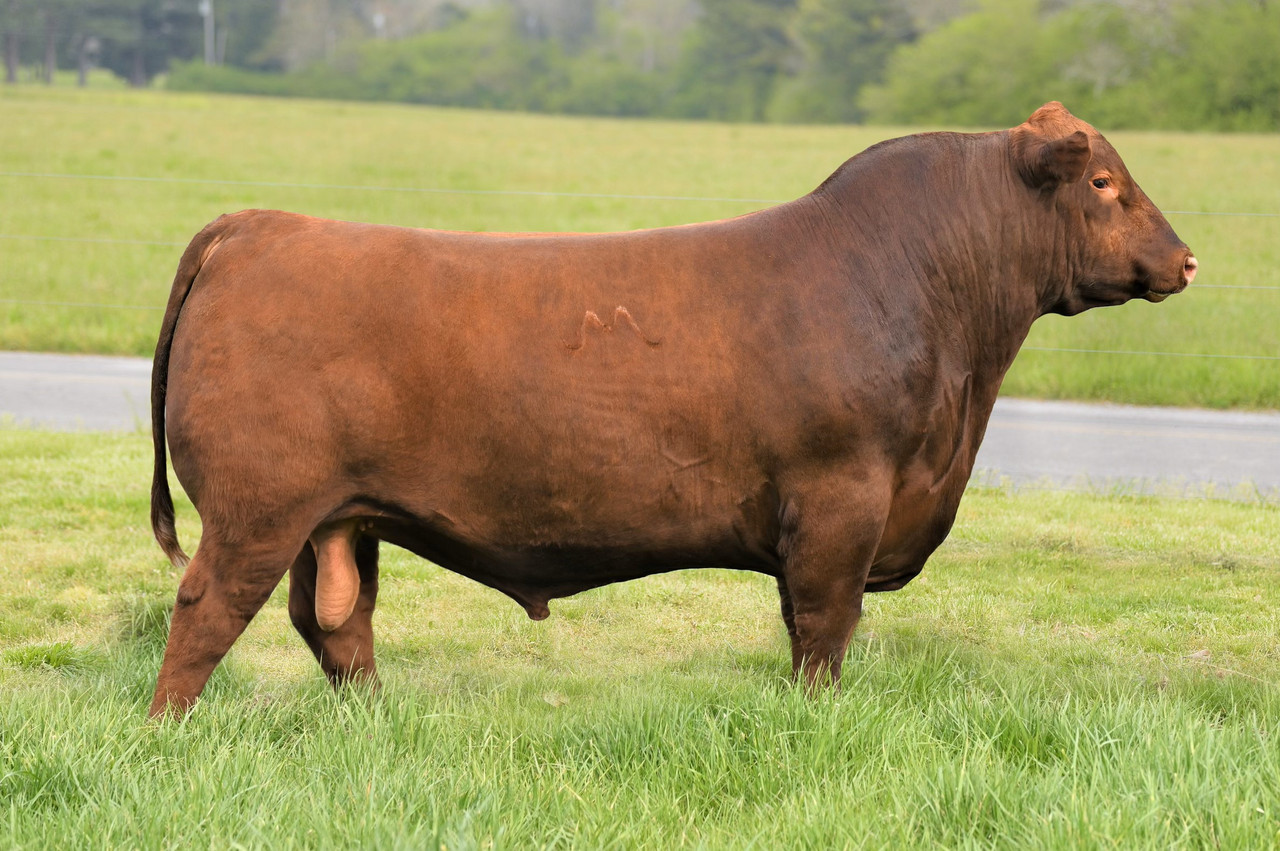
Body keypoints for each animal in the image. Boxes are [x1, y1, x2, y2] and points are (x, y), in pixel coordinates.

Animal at [147, 103, 1196, 716]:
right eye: (1104, 181)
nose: (1186, 260)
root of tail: (255, 223)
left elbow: (809, 625)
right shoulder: (842, 499)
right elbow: (825, 629)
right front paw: (817, 724)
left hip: (338, 516)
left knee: (335, 621)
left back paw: (377, 724)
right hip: (256, 508)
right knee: (206, 610)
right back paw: (168, 731)